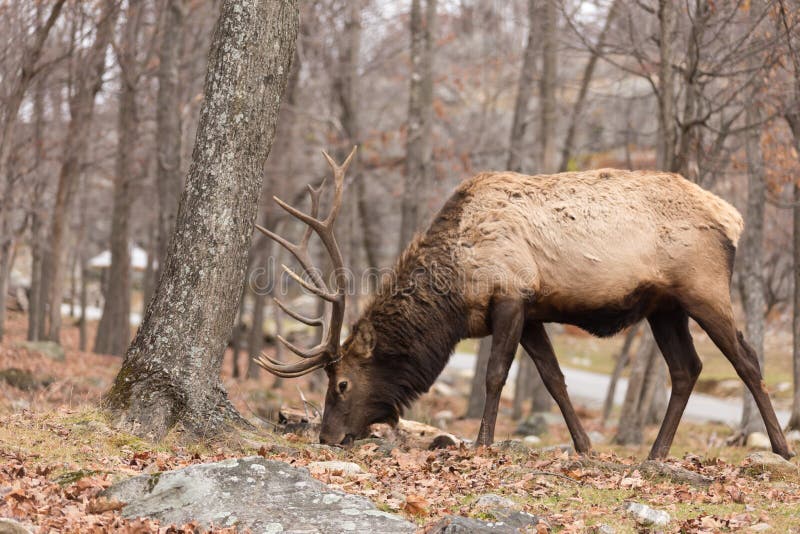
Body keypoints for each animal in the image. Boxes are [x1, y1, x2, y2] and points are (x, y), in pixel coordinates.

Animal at [253, 147, 793, 461]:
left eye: (341, 383)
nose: (327, 436)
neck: (456, 287)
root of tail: (733, 218)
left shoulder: (510, 296)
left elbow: (496, 376)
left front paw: (482, 443)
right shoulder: (533, 313)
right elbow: (554, 379)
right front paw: (585, 446)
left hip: (703, 287)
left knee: (746, 358)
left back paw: (782, 448)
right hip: (664, 306)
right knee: (687, 368)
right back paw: (657, 453)